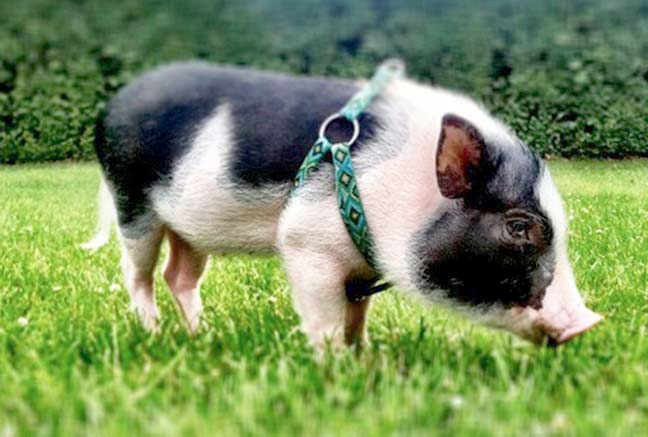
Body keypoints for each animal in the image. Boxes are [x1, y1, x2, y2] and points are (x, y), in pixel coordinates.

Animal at [83, 61, 602, 348]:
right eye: (519, 227)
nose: (588, 323)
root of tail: (111, 105)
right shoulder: (306, 243)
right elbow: (327, 321)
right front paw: (335, 371)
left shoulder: (360, 261)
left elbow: (358, 318)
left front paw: (364, 357)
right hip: (133, 204)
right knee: (137, 273)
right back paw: (153, 333)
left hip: (189, 226)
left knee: (180, 275)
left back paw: (202, 334)